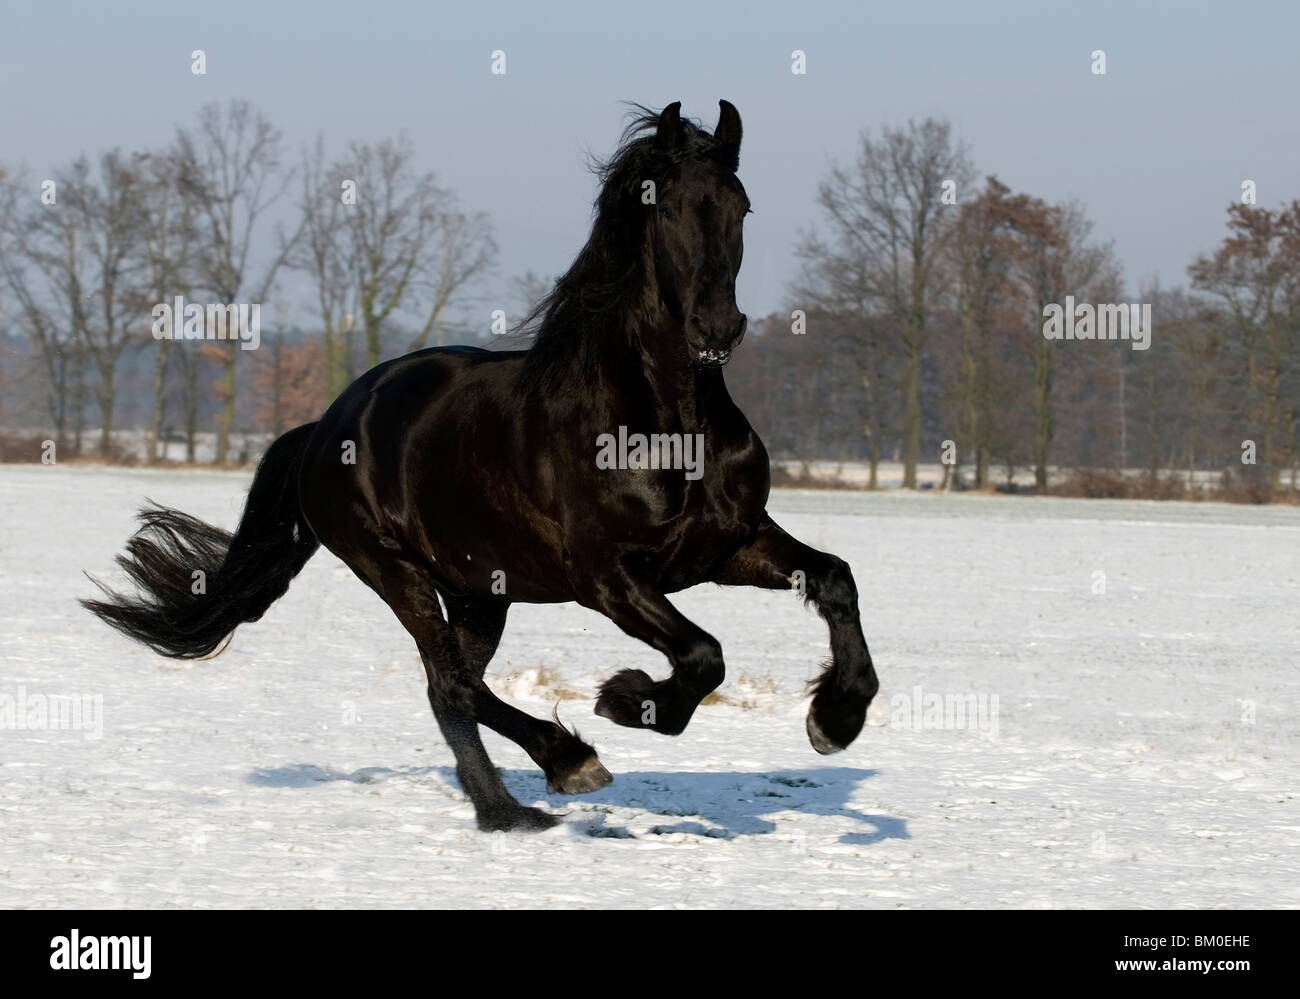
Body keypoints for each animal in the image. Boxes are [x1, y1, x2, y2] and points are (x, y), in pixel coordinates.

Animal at [82, 100, 880, 832]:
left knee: (449, 687)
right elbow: (703, 653)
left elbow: (835, 578)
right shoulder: (608, 576)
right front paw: (627, 698)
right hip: (394, 569)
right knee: (454, 684)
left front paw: (835, 719)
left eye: (740, 206)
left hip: (478, 590)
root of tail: (326, 426)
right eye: (669, 208)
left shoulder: (728, 546)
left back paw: (508, 811)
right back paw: (567, 763)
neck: (667, 424)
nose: (718, 329)